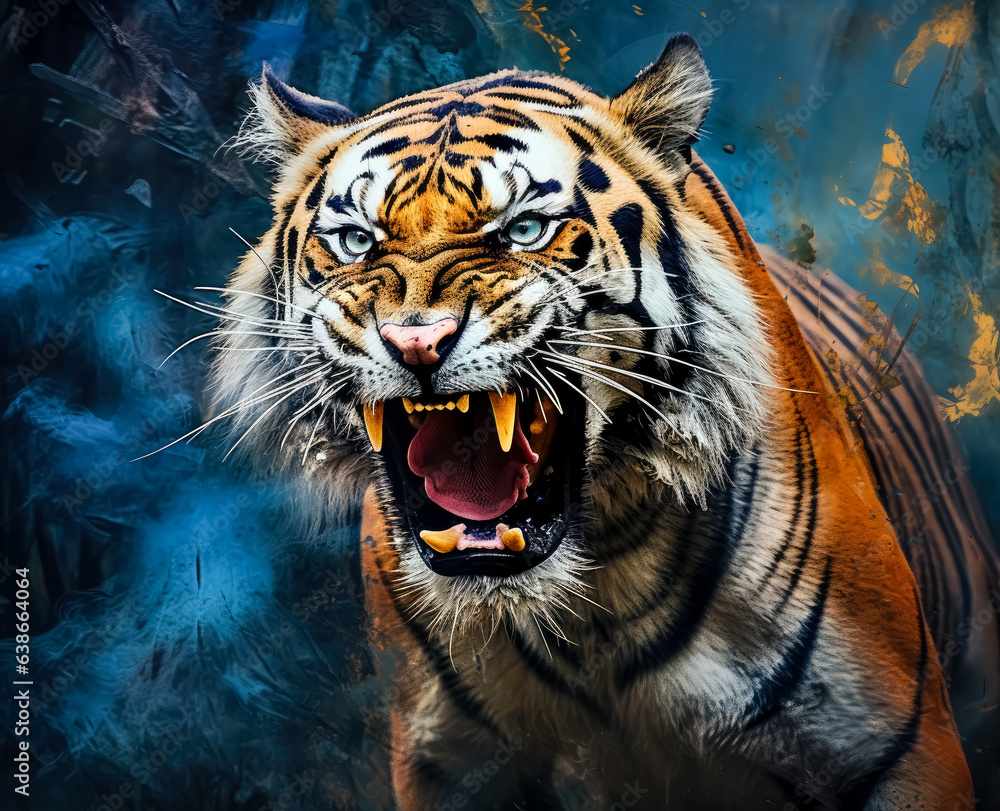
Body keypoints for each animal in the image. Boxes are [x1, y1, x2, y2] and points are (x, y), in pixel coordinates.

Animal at [205, 33, 1000, 808]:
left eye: (525, 230)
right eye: (356, 241)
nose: (417, 341)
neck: (595, 590)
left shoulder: (893, 747)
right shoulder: (452, 758)